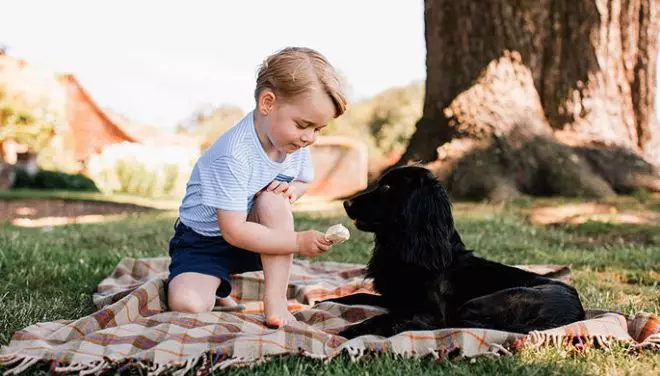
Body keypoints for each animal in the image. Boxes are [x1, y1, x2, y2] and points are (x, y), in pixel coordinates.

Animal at [324, 166, 584, 340]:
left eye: (387, 187)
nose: (346, 203)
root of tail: (578, 314)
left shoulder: (430, 311)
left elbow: (386, 317)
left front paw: (351, 330)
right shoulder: (395, 299)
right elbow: (357, 296)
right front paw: (326, 301)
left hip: (480, 303)